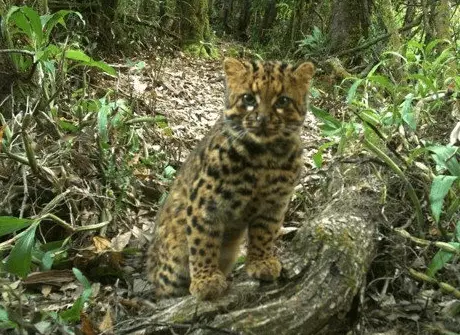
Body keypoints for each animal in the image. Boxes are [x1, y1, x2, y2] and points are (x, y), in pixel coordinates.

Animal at [147, 56, 316, 300]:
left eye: (283, 101)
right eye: (248, 98)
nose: (262, 119)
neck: (264, 158)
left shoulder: (275, 204)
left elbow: (264, 234)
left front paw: (262, 262)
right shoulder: (205, 204)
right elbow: (203, 243)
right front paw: (206, 280)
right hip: (172, 265)